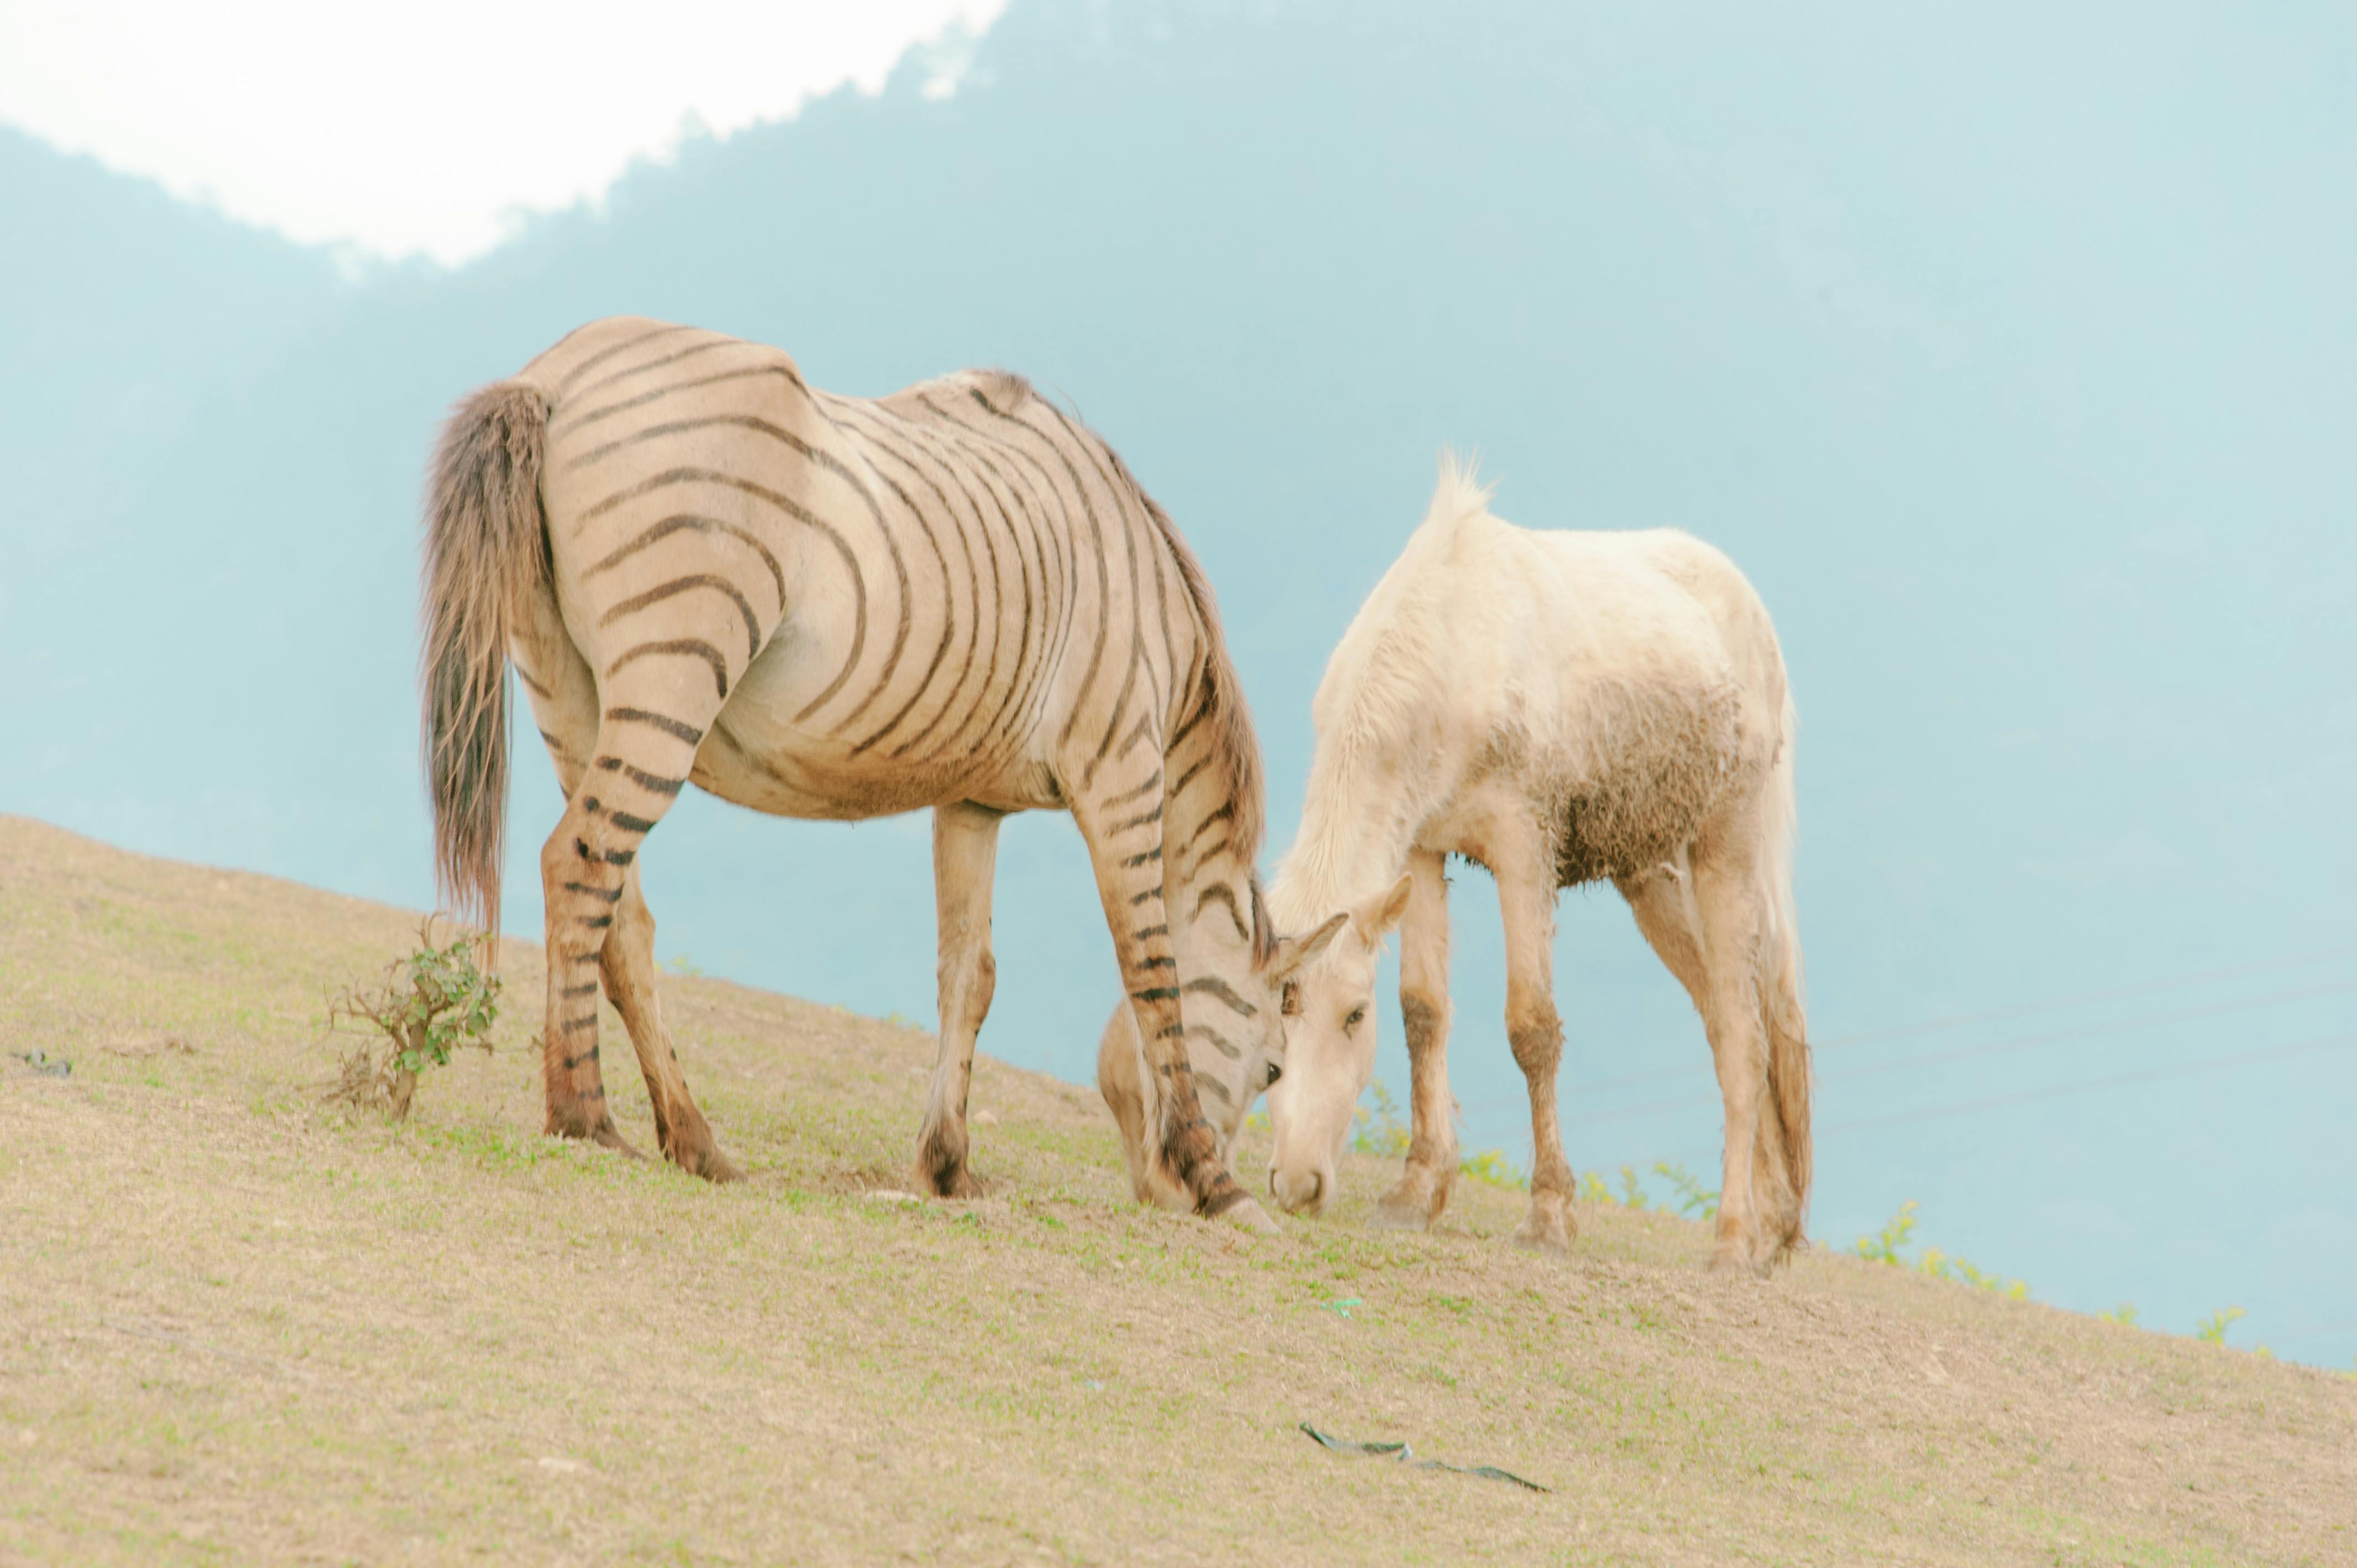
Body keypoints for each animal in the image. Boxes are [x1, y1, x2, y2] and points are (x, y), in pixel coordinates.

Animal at [420, 316, 1344, 1228]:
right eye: (1272, 1070)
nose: (1158, 1193)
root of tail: (554, 376)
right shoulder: (1120, 771)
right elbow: (1153, 974)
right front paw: (1215, 1185)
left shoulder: (972, 803)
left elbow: (969, 978)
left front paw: (948, 1166)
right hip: (670, 679)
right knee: (578, 868)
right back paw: (585, 1117)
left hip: (570, 697)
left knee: (624, 919)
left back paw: (694, 1140)